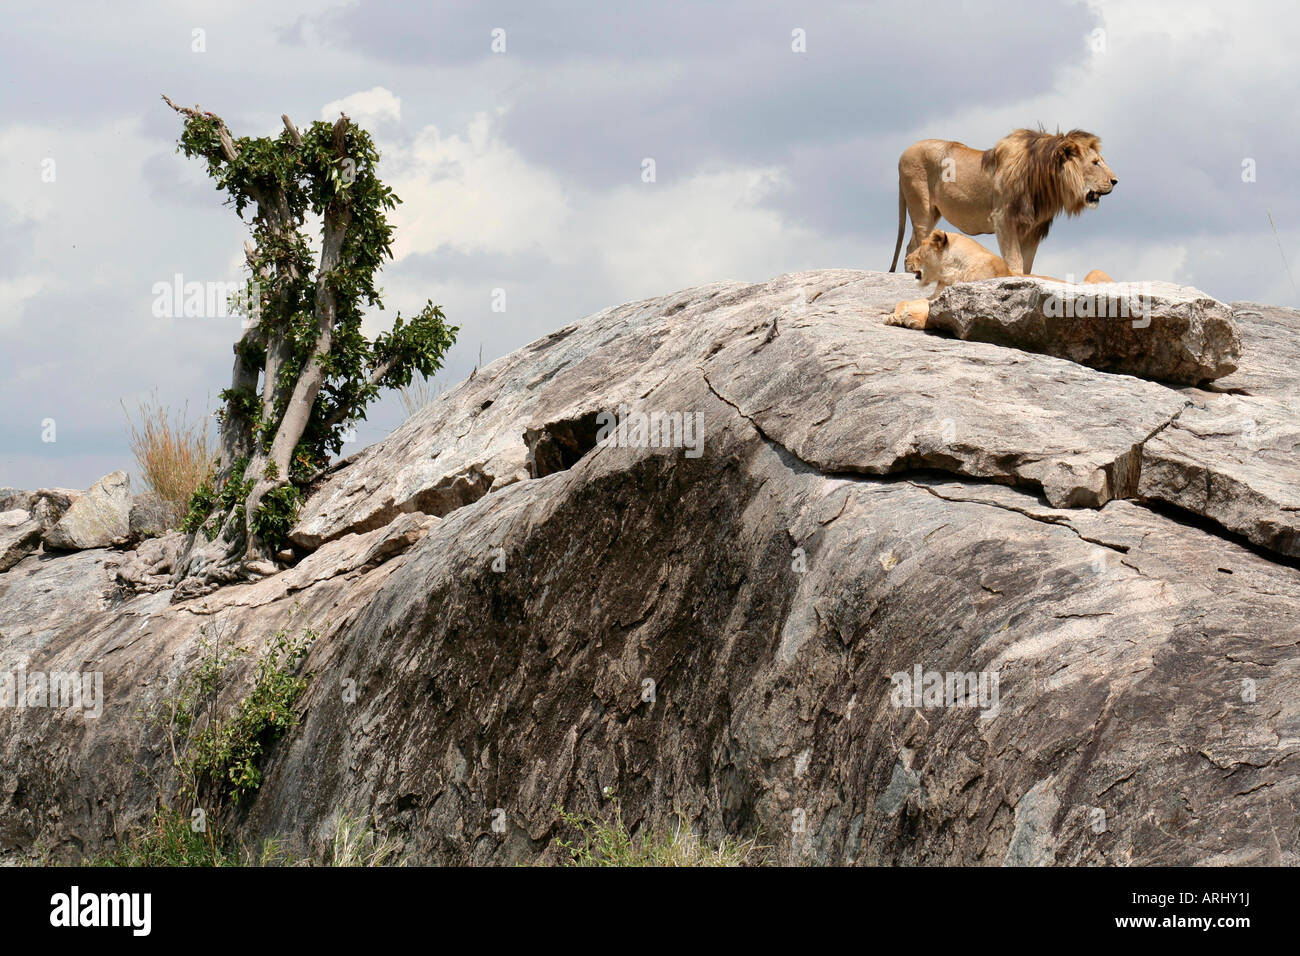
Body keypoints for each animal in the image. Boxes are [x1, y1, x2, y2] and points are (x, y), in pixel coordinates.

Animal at [889, 128, 1117, 276]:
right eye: (1095, 163)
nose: (1116, 181)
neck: (1045, 181)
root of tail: (901, 155)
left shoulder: (1033, 229)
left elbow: (1027, 265)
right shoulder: (1004, 219)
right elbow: (1014, 261)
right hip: (922, 209)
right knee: (914, 245)